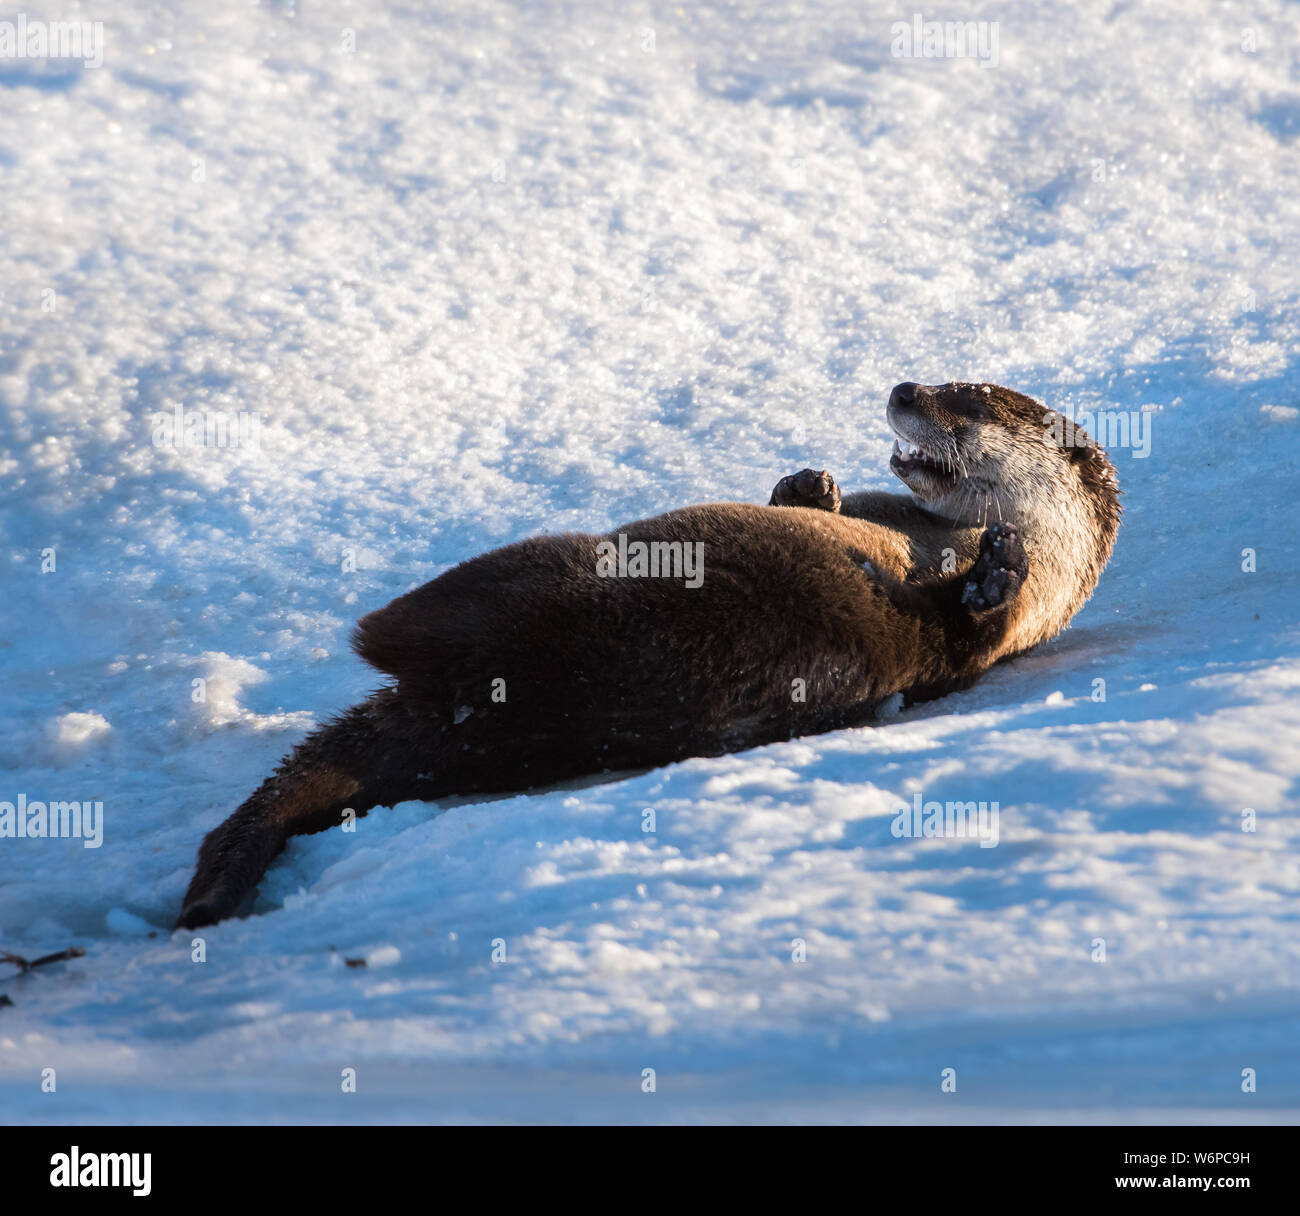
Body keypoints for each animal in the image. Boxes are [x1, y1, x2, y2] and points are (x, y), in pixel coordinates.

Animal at [176, 381, 1120, 930]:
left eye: (972, 399)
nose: (904, 385)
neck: (931, 537)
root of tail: (476, 708)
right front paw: (809, 485)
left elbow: (969, 626)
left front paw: (995, 569)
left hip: (518, 582)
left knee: (385, 631)